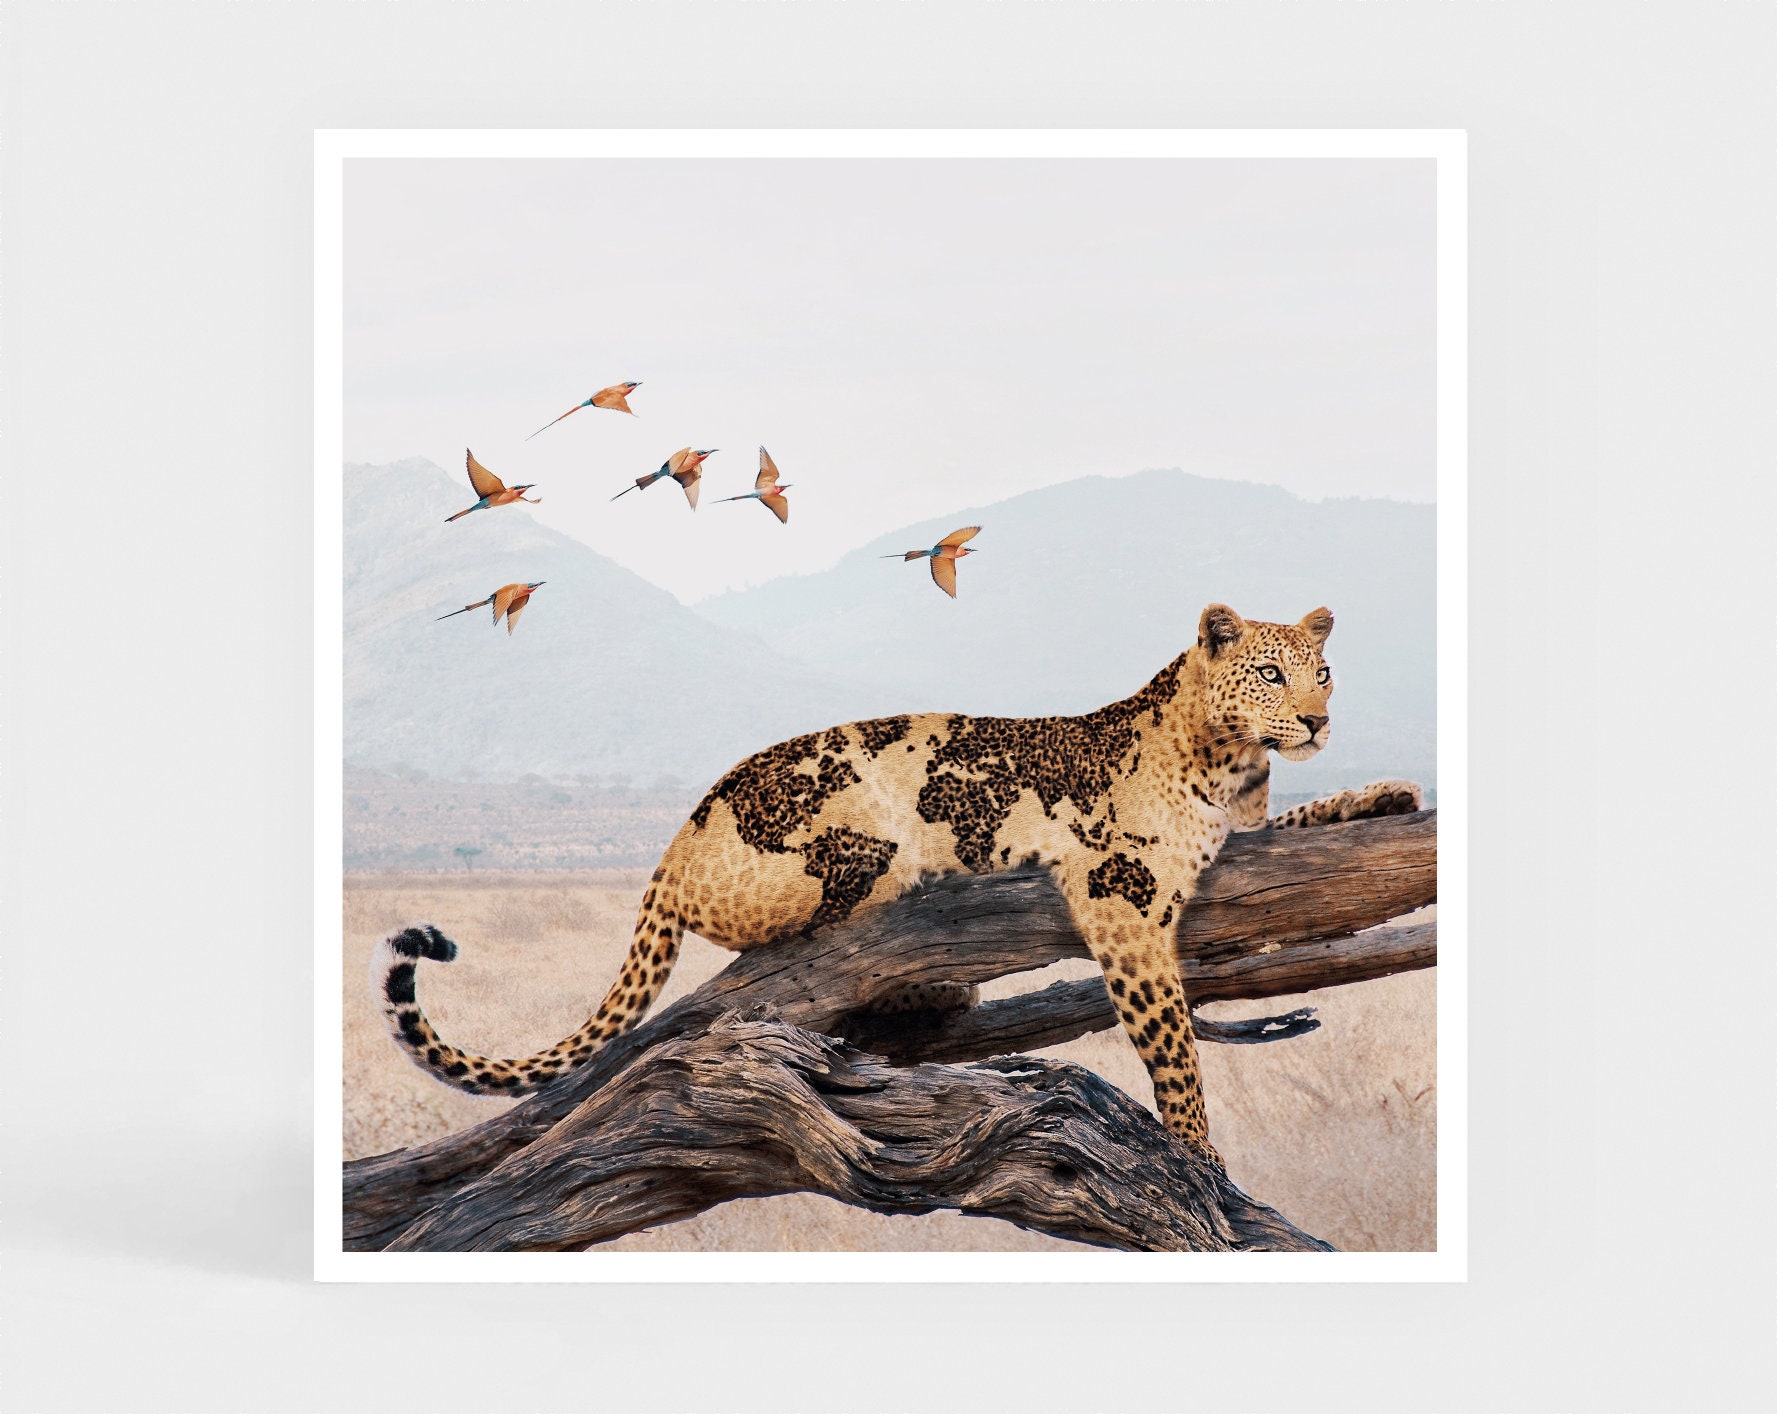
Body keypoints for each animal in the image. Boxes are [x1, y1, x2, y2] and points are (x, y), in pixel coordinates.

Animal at [370, 602, 1422, 1166]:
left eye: (1324, 672)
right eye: (1271, 674)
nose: (1318, 720)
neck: (1228, 760)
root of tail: (671, 849)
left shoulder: (1245, 833)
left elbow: (1308, 821)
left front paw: (1386, 794)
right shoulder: (1118, 896)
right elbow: (1171, 1044)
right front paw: (1199, 1154)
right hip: (862, 848)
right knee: (817, 947)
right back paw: (930, 983)